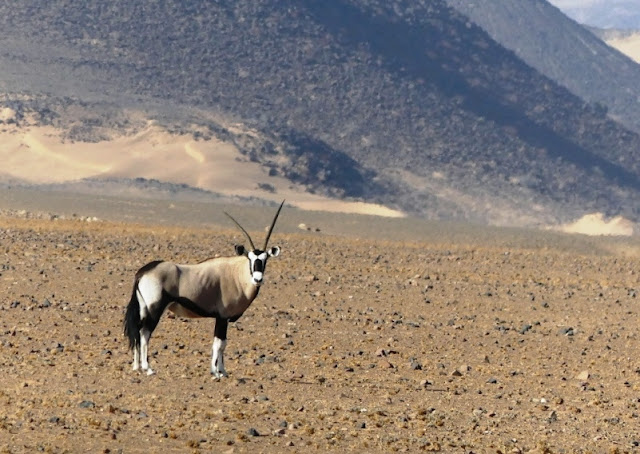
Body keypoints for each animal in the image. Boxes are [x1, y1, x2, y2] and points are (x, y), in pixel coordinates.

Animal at [123, 201, 284, 377]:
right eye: (250, 259)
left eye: (265, 259)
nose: (258, 279)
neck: (237, 275)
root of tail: (143, 272)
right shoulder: (222, 317)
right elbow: (219, 344)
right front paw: (216, 372)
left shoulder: (222, 319)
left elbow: (221, 343)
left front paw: (222, 371)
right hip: (154, 310)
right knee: (144, 334)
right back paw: (148, 368)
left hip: (143, 309)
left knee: (137, 332)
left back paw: (136, 366)